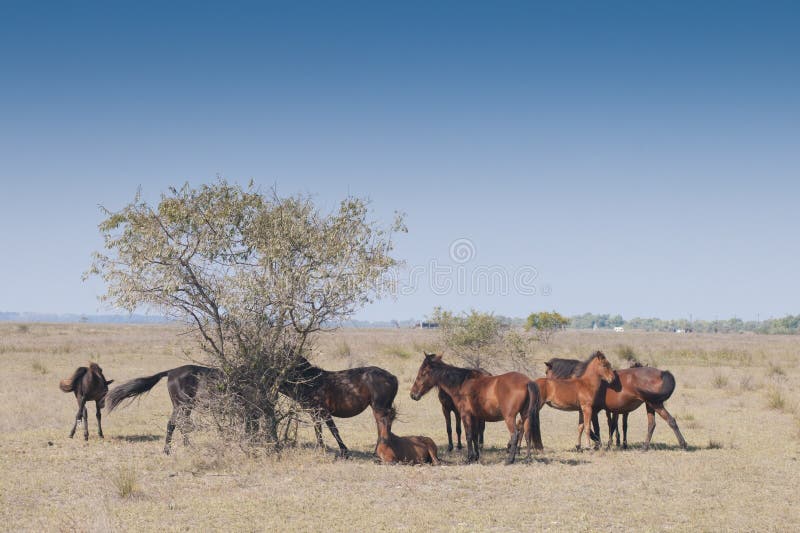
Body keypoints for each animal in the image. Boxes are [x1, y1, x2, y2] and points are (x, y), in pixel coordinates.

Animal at [410, 352, 542, 464]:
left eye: (423, 373)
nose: (413, 394)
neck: (462, 383)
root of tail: (527, 382)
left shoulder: (465, 415)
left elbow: (468, 435)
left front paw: (469, 458)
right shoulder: (475, 417)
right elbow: (475, 435)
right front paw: (476, 456)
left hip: (509, 418)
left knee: (515, 435)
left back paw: (509, 460)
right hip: (525, 415)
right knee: (527, 434)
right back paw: (527, 459)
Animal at [546, 358, 687, 450]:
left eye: (546, 372)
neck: (583, 380)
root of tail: (662, 372)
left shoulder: (593, 410)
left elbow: (594, 428)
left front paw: (598, 444)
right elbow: (591, 427)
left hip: (655, 403)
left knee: (671, 420)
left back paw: (683, 444)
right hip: (650, 405)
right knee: (652, 424)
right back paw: (645, 446)